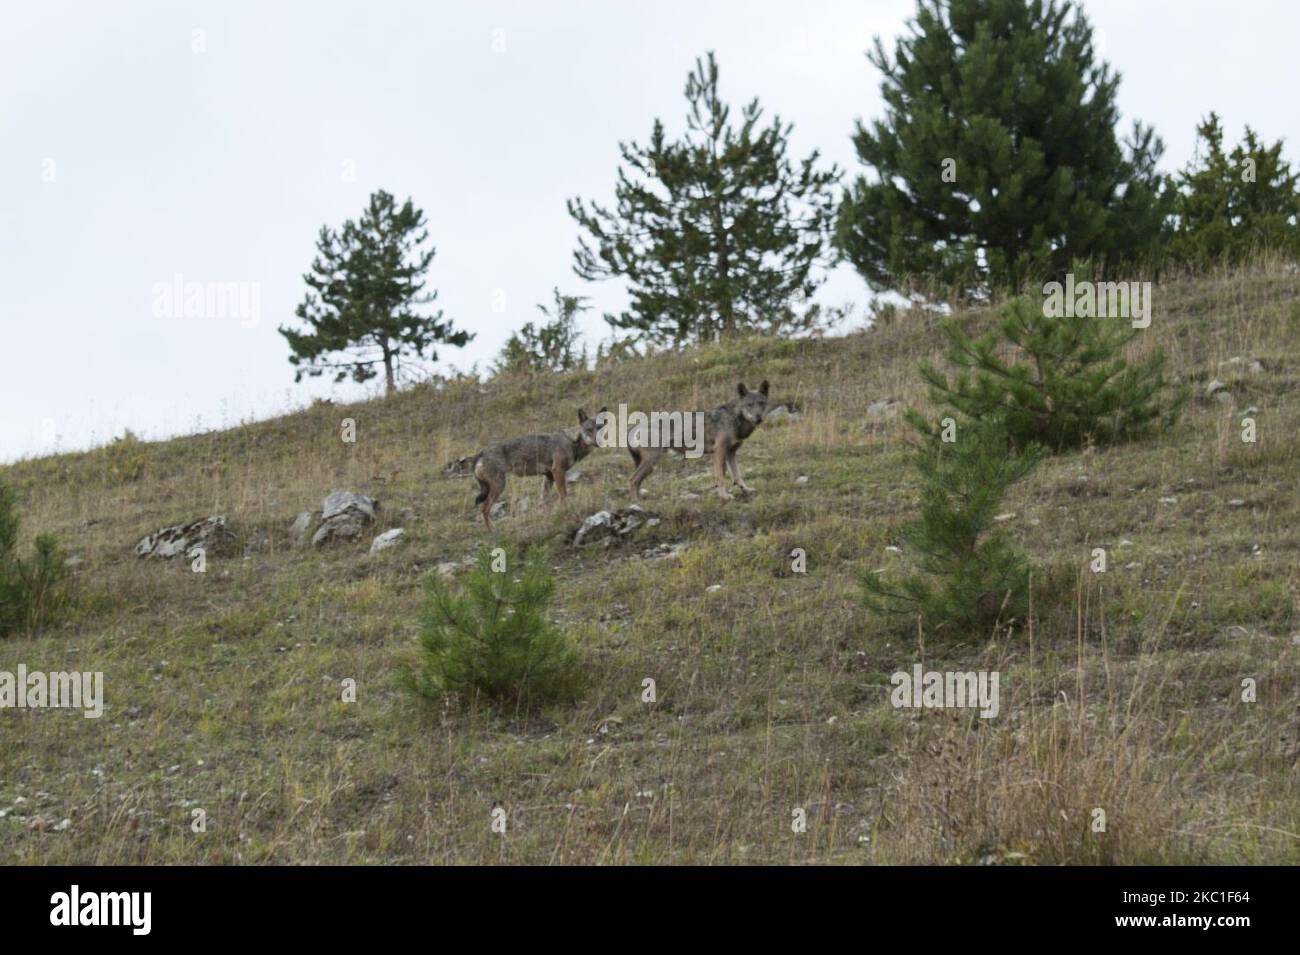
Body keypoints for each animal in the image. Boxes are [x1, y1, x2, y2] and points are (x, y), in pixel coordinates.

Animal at [472, 408, 607, 530]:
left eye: (600, 428)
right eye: (589, 429)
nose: (598, 441)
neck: (572, 442)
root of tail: (481, 453)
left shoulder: (549, 477)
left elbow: (542, 502)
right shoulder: (558, 471)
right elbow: (563, 495)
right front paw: (567, 511)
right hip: (499, 486)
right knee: (483, 509)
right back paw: (493, 531)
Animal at [627, 381, 770, 500]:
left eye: (761, 404)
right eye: (749, 405)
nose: (758, 418)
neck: (734, 419)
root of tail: (635, 426)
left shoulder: (731, 453)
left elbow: (737, 475)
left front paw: (746, 489)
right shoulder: (719, 452)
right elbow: (721, 478)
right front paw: (724, 496)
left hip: (649, 464)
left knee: (636, 481)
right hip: (652, 462)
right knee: (633, 480)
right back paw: (636, 502)